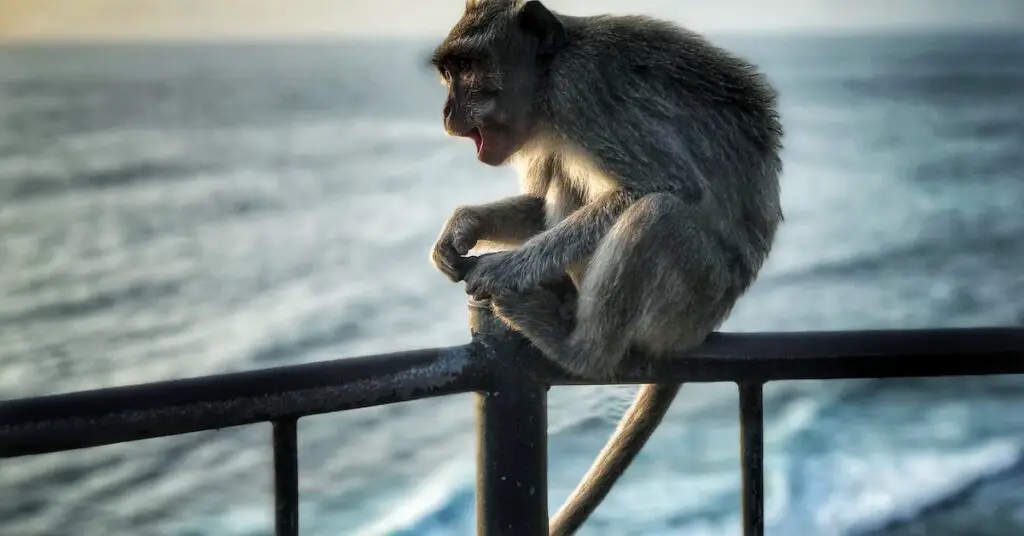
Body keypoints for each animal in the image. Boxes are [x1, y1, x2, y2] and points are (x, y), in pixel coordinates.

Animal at [427, 1, 783, 534]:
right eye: (449, 71)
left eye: (468, 68)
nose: (447, 111)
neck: (549, 78)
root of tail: (705, 328)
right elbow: (539, 203)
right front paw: (460, 229)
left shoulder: (581, 91)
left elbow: (666, 186)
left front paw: (504, 270)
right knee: (567, 176)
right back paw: (562, 300)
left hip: (696, 294)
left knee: (657, 215)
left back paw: (579, 347)